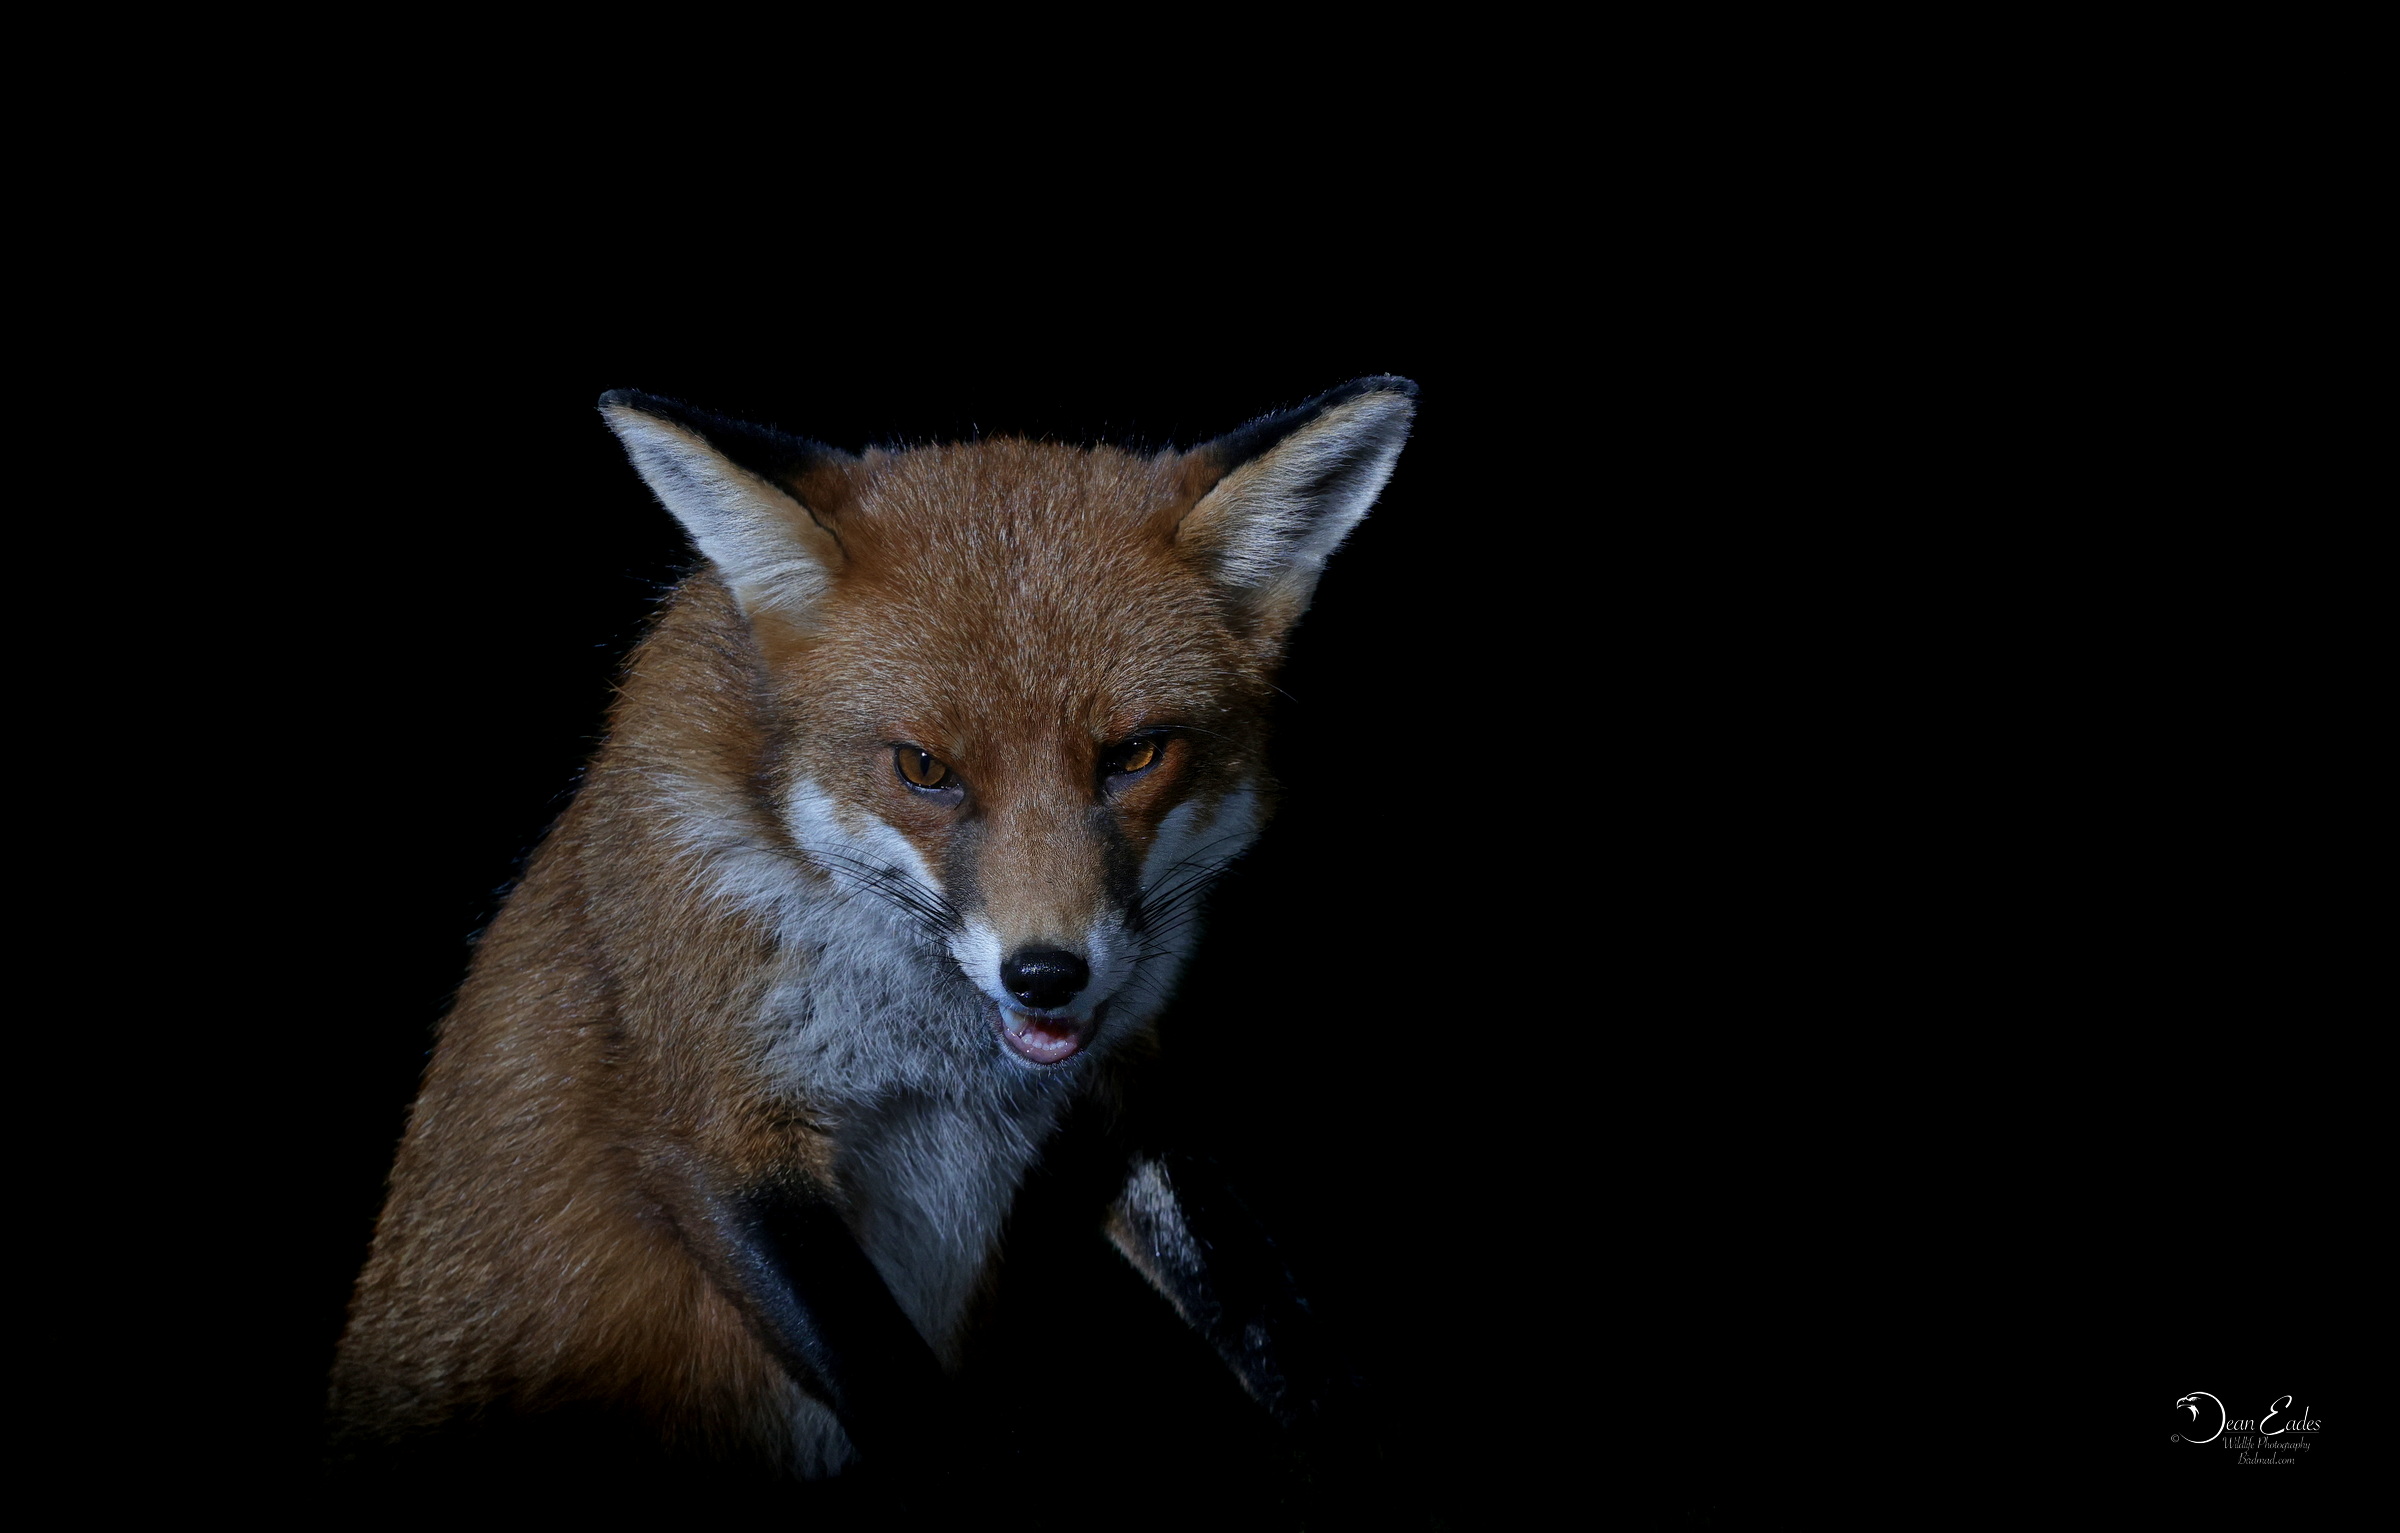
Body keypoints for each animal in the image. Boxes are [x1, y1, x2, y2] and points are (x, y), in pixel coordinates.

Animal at [327, 377, 1417, 1491]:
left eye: (1136, 755)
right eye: (925, 769)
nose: (1046, 975)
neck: (943, 1063)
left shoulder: (1117, 1083)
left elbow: (1264, 1310)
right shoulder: (712, 1136)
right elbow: (911, 1402)